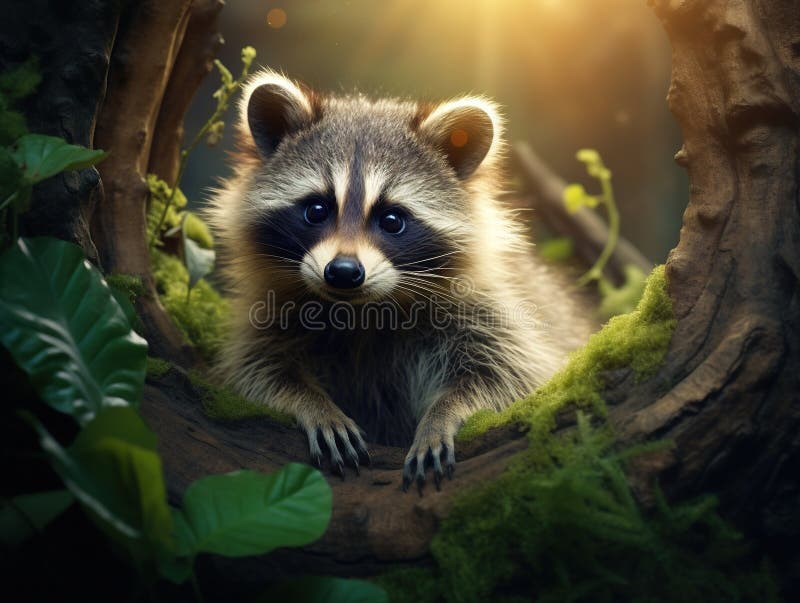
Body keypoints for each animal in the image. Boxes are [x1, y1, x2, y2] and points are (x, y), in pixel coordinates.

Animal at [208, 69, 592, 492]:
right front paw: (313, 404)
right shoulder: (270, 314)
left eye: (392, 220)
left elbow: (510, 378)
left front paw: (443, 415)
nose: (343, 272)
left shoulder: (489, 313)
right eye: (316, 210)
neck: (361, 309)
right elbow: (258, 372)